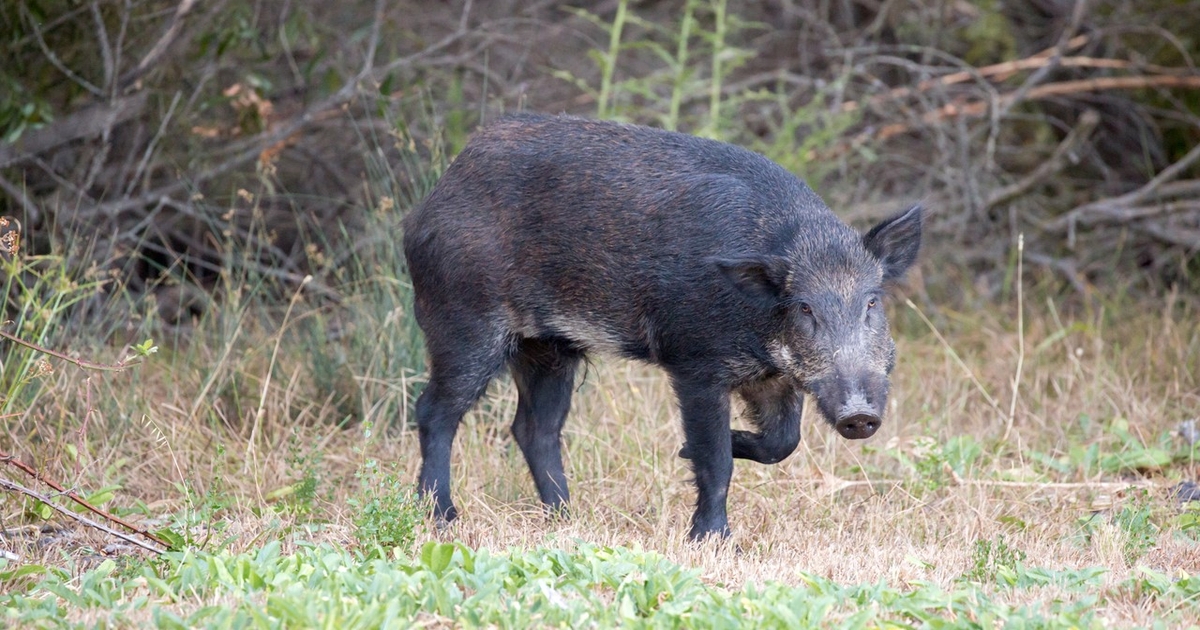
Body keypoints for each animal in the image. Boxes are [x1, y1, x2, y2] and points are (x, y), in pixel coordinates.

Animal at [402, 113, 921, 540]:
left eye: (872, 301)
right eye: (804, 308)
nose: (859, 415)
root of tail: (431, 199)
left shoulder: (772, 379)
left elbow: (782, 443)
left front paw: (686, 455)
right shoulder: (695, 365)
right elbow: (716, 460)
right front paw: (711, 537)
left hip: (549, 346)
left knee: (534, 428)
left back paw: (568, 520)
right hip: (465, 321)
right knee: (435, 410)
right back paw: (443, 518)